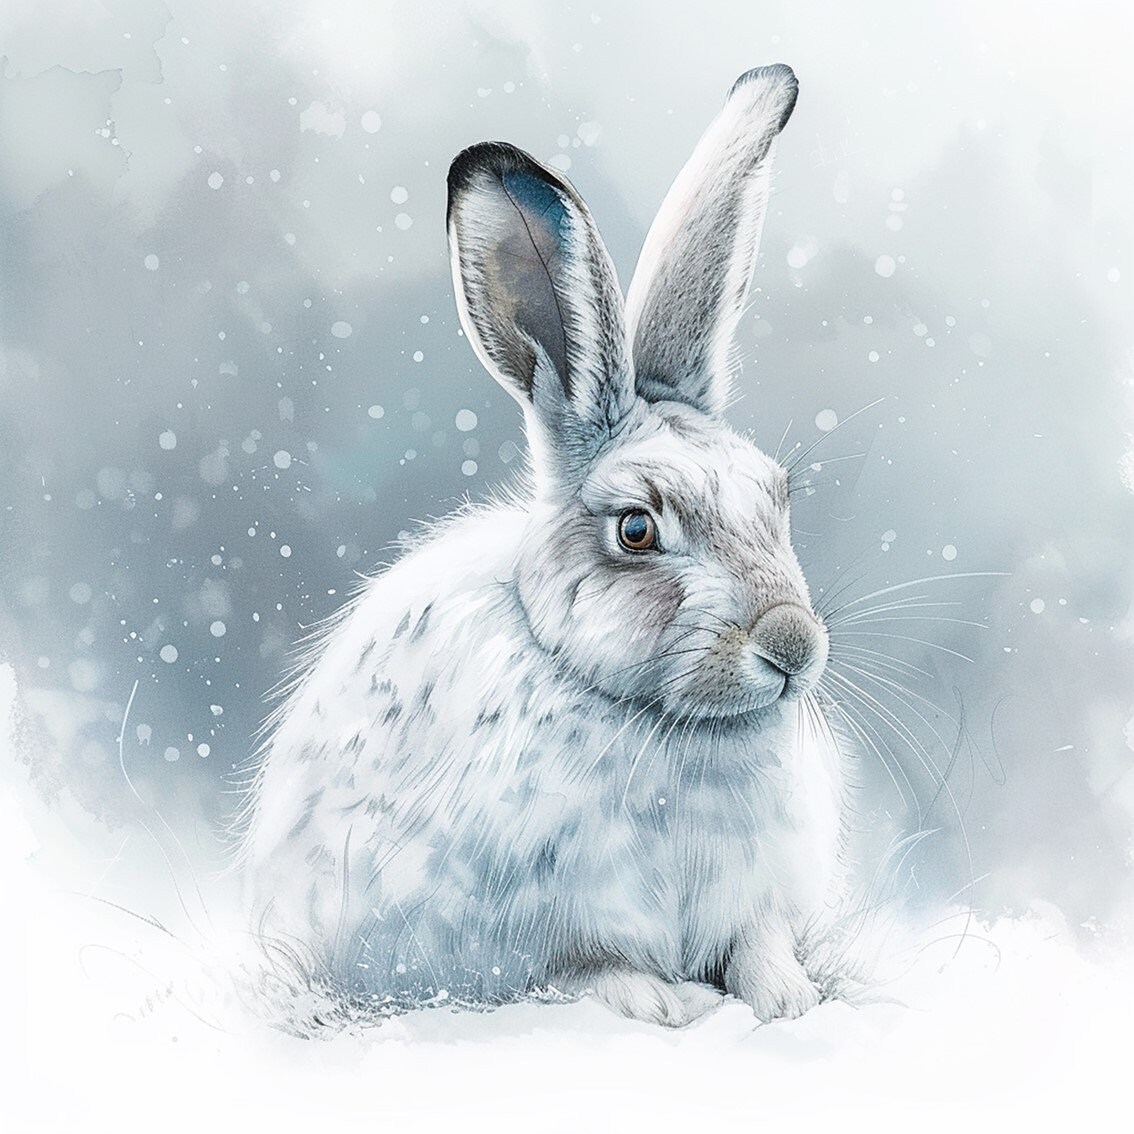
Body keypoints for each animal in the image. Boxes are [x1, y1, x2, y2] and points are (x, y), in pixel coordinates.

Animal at [239, 62, 848, 1028]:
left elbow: (757, 946)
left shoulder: (754, 900)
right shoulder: (517, 933)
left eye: (778, 498)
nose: (792, 646)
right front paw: (669, 1003)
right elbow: (584, 970)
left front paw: (789, 998)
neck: (660, 721)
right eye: (637, 528)